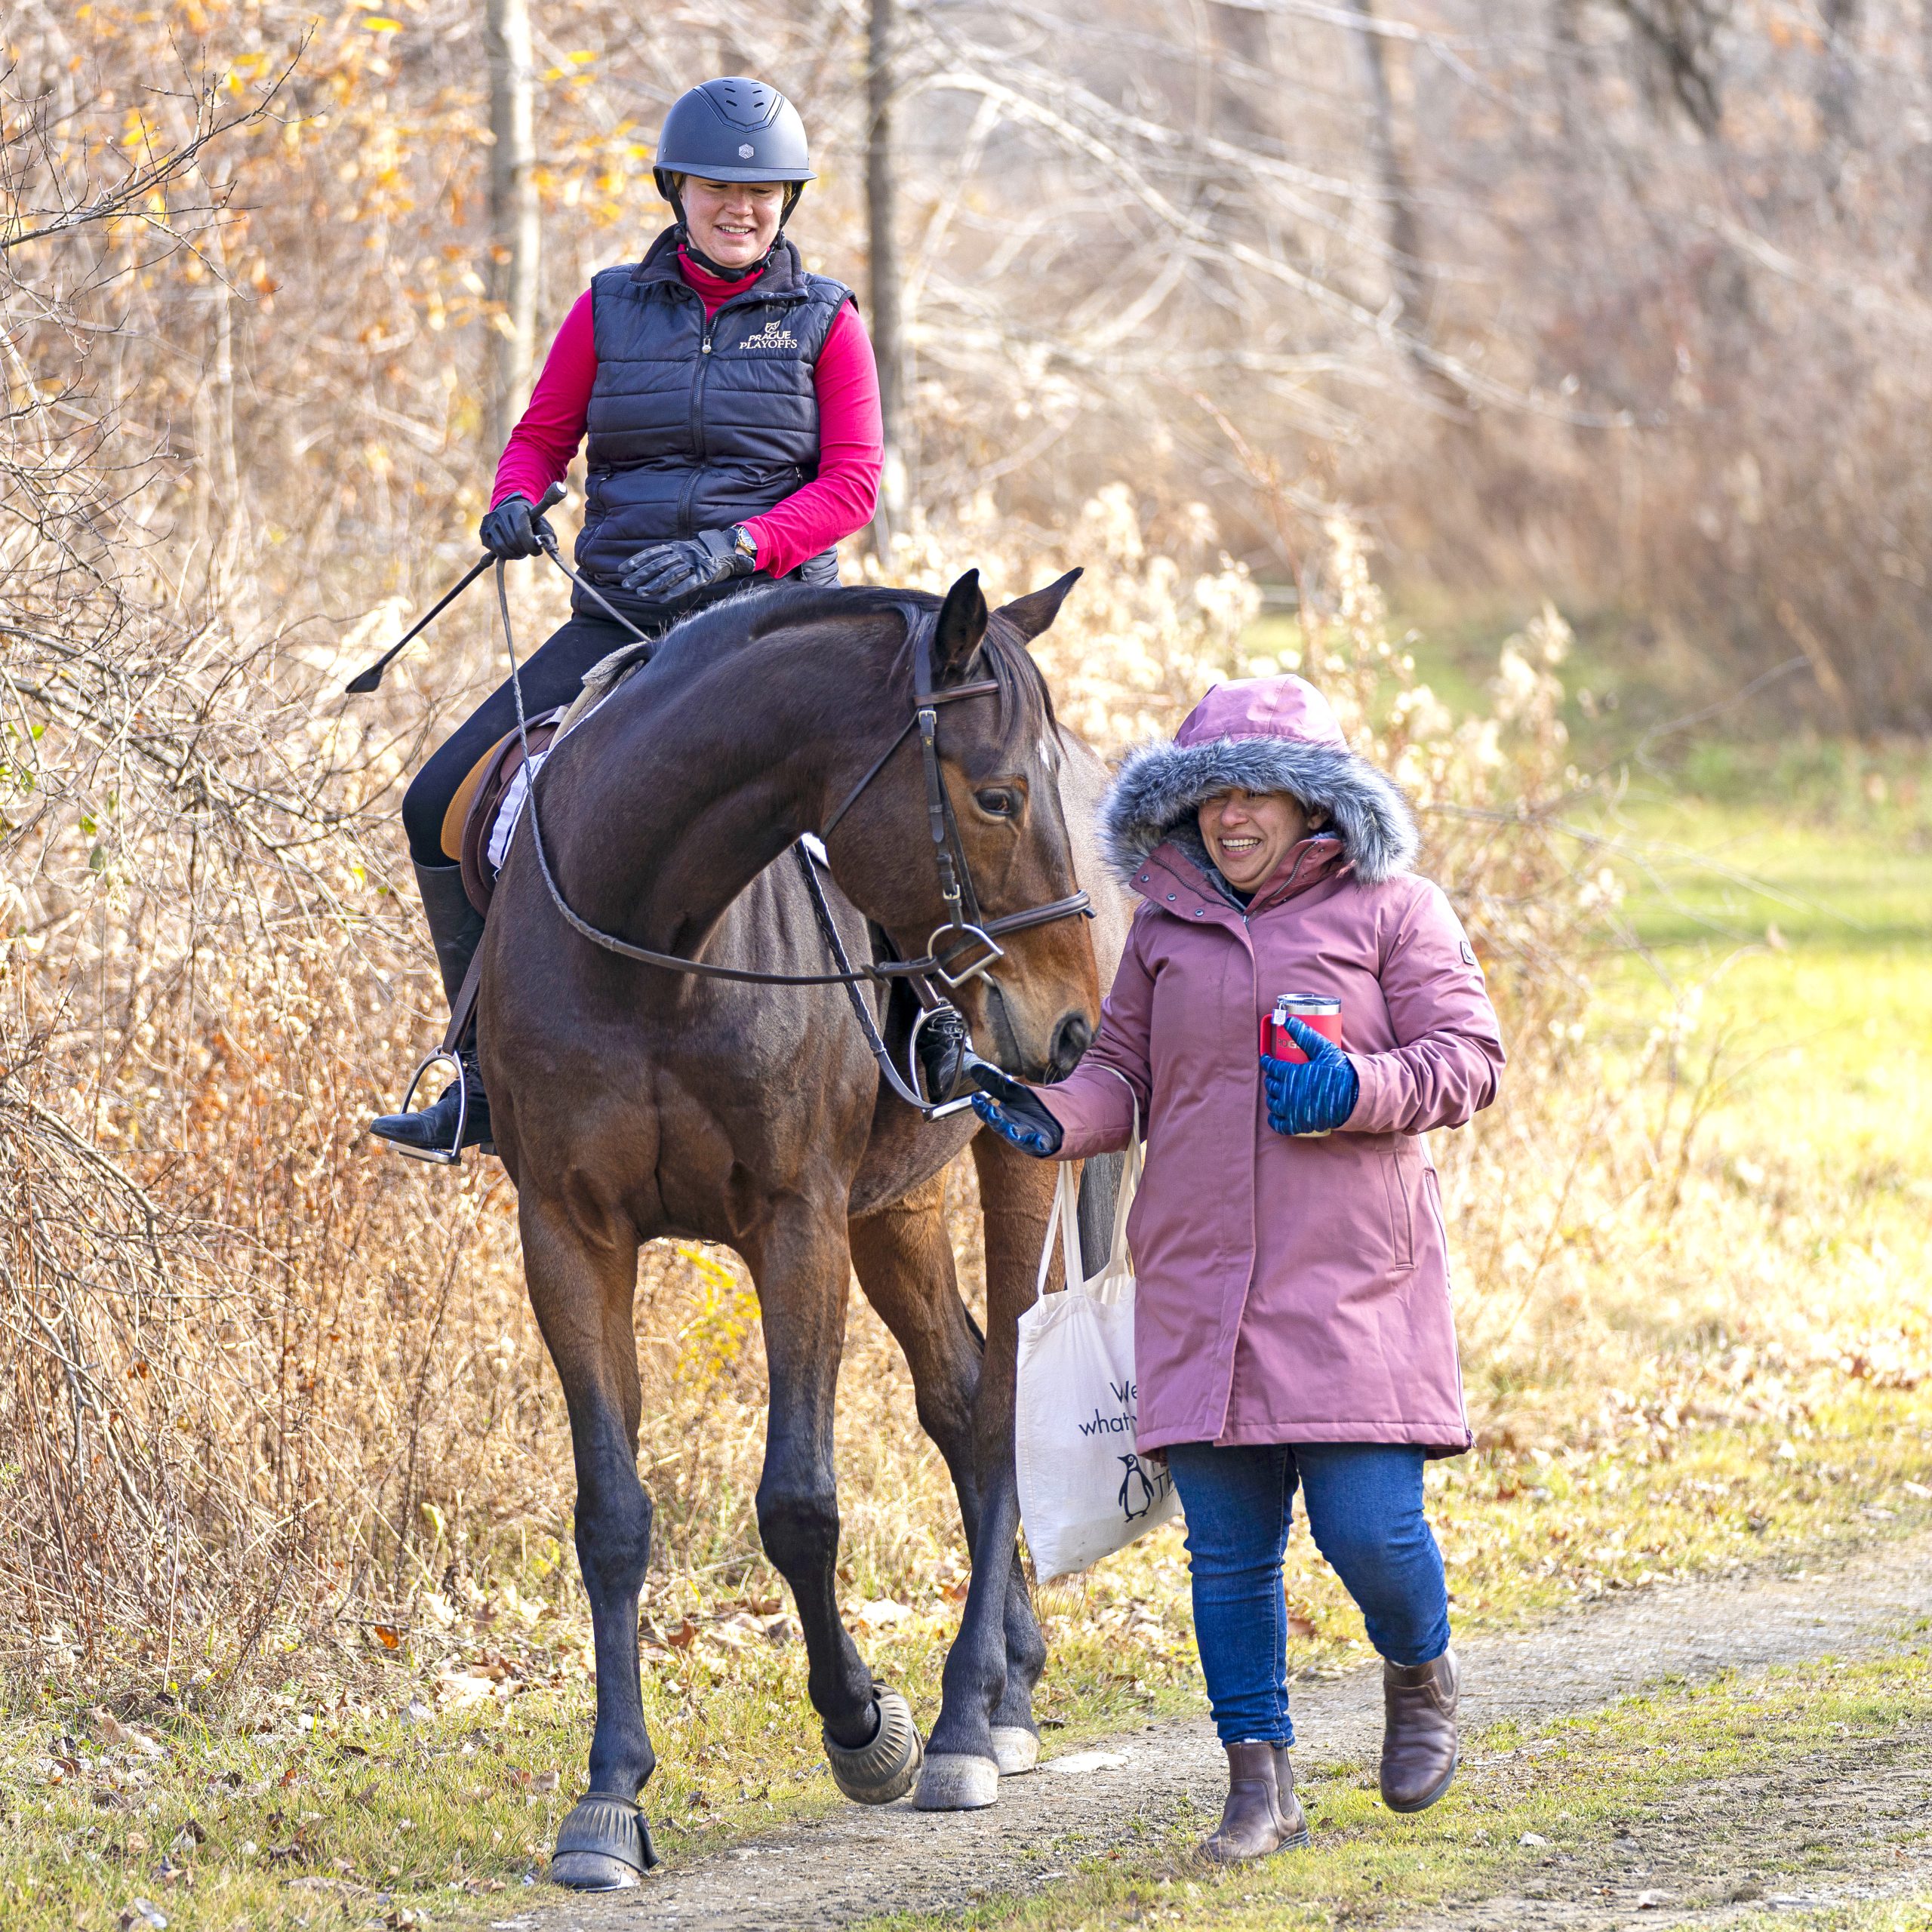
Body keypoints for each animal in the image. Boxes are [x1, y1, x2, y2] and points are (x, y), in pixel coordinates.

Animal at [478, 566, 1128, 1887]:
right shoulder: (566, 1235)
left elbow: (798, 1503)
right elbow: (611, 1516)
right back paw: (1012, 1691)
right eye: (994, 794)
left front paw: (864, 1727)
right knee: (961, 1392)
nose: (1074, 1026)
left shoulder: (796, 1225)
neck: (657, 942)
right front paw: (609, 1797)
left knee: (997, 1406)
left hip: (1011, 1164)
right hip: (899, 1208)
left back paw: (966, 1720)